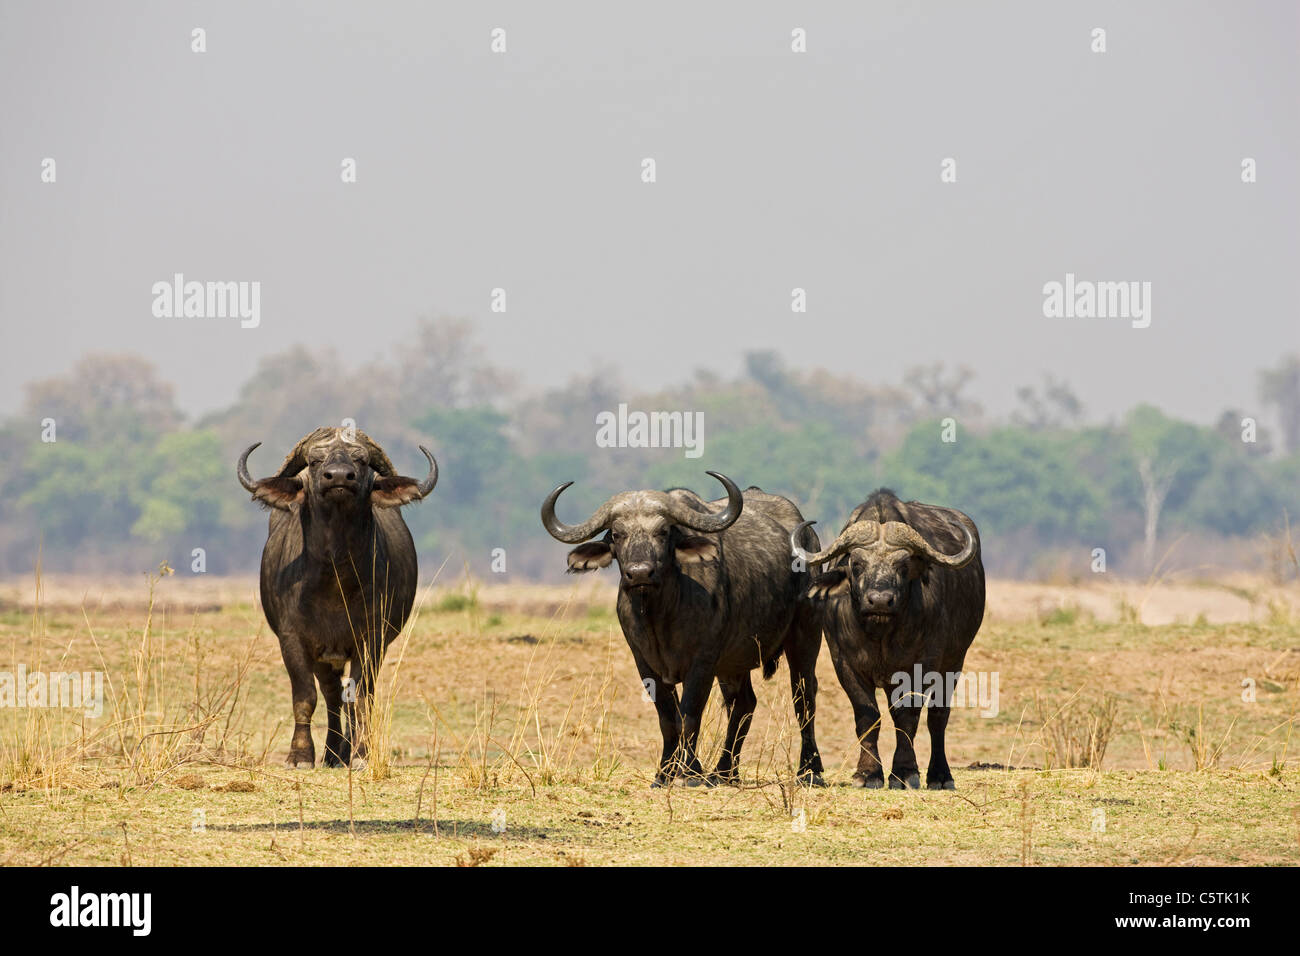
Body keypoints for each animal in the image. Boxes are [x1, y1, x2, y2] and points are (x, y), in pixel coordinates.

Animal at [238, 427, 437, 769]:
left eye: (361, 460)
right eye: (315, 461)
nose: (340, 477)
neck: (334, 580)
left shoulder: (372, 639)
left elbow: (360, 698)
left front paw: (361, 754)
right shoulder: (293, 639)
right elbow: (305, 697)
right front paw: (300, 755)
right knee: (331, 694)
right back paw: (333, 753)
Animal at [542, 473, 824, 787]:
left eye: (663, 531)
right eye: (616, 534)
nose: (639, 573)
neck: (660, 616)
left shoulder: (702, 662)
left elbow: (690, 714)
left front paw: (689, 772)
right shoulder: (645, 663)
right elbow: (668, 718)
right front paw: (665, 773)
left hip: (805, 637)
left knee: (804, 697)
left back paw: (809, 770)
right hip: (734, 662)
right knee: (744, 704)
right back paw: (724, 772)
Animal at [792, 489, 983, 790]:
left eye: (903, 565)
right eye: (856, 564)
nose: (880, 600)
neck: (879, 632)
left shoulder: (922, 665)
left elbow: (907, 716)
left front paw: (904, 773)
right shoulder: (844, 663)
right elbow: (868, 716)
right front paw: (868, 773)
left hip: (954, 661)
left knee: (938, 717)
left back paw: (940, 776)